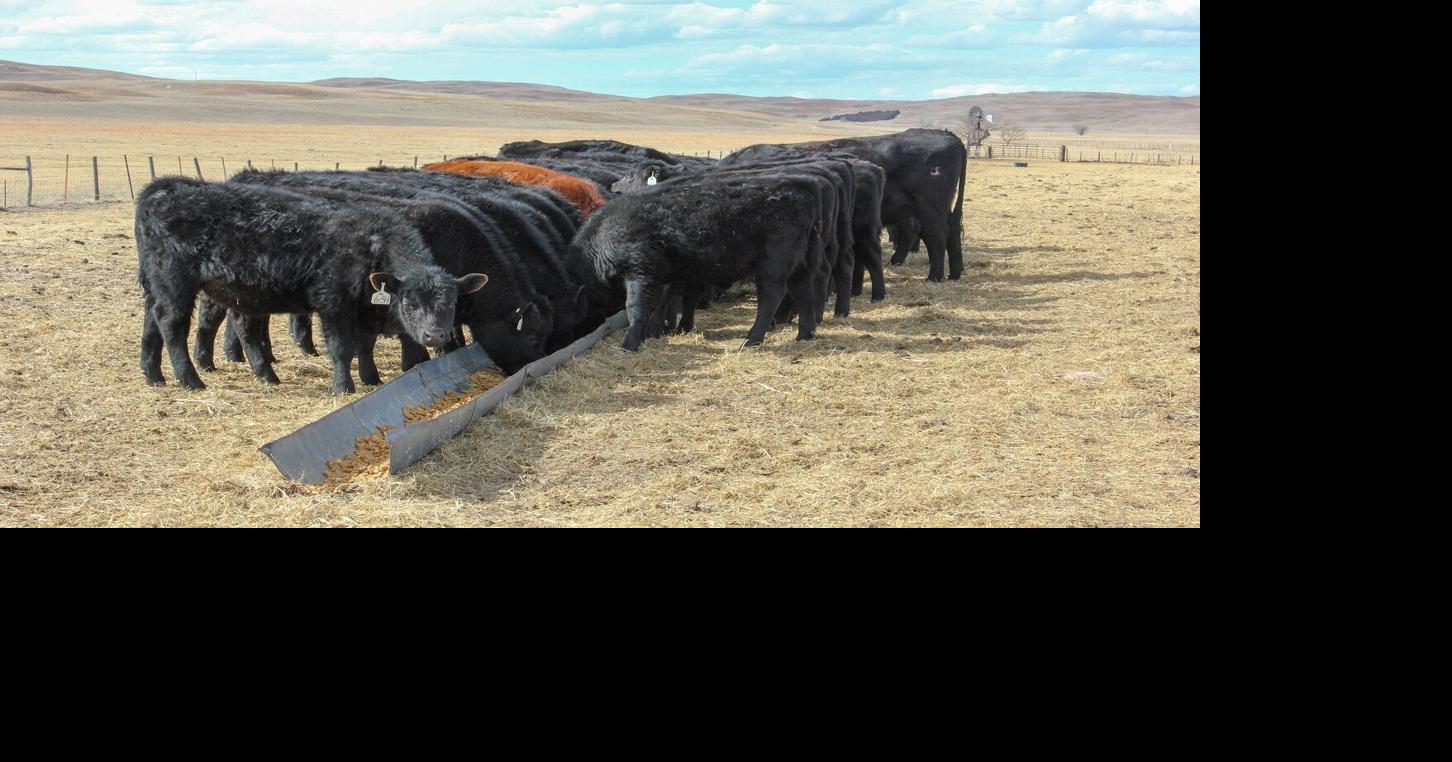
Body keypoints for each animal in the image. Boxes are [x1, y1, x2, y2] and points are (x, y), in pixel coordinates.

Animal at [134, 177, 486, 394]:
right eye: (409, 304)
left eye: (452, 303)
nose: (435, 335)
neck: (372, 244)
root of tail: (165, 187)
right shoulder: (332, 303)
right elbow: (342, 348)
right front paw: (344, 387)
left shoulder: (364, 309)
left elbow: (365, 345)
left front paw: (371, 378)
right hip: (175, 283)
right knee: (172, 324)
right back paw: (190, 379)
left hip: (169, 286)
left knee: (156, 321)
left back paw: (156, 375)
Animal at [726, 129, 967, 282]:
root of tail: (947, 135)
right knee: (948, 232)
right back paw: (953, 273)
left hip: (930, 209)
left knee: (936, 235)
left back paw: (934, 276)